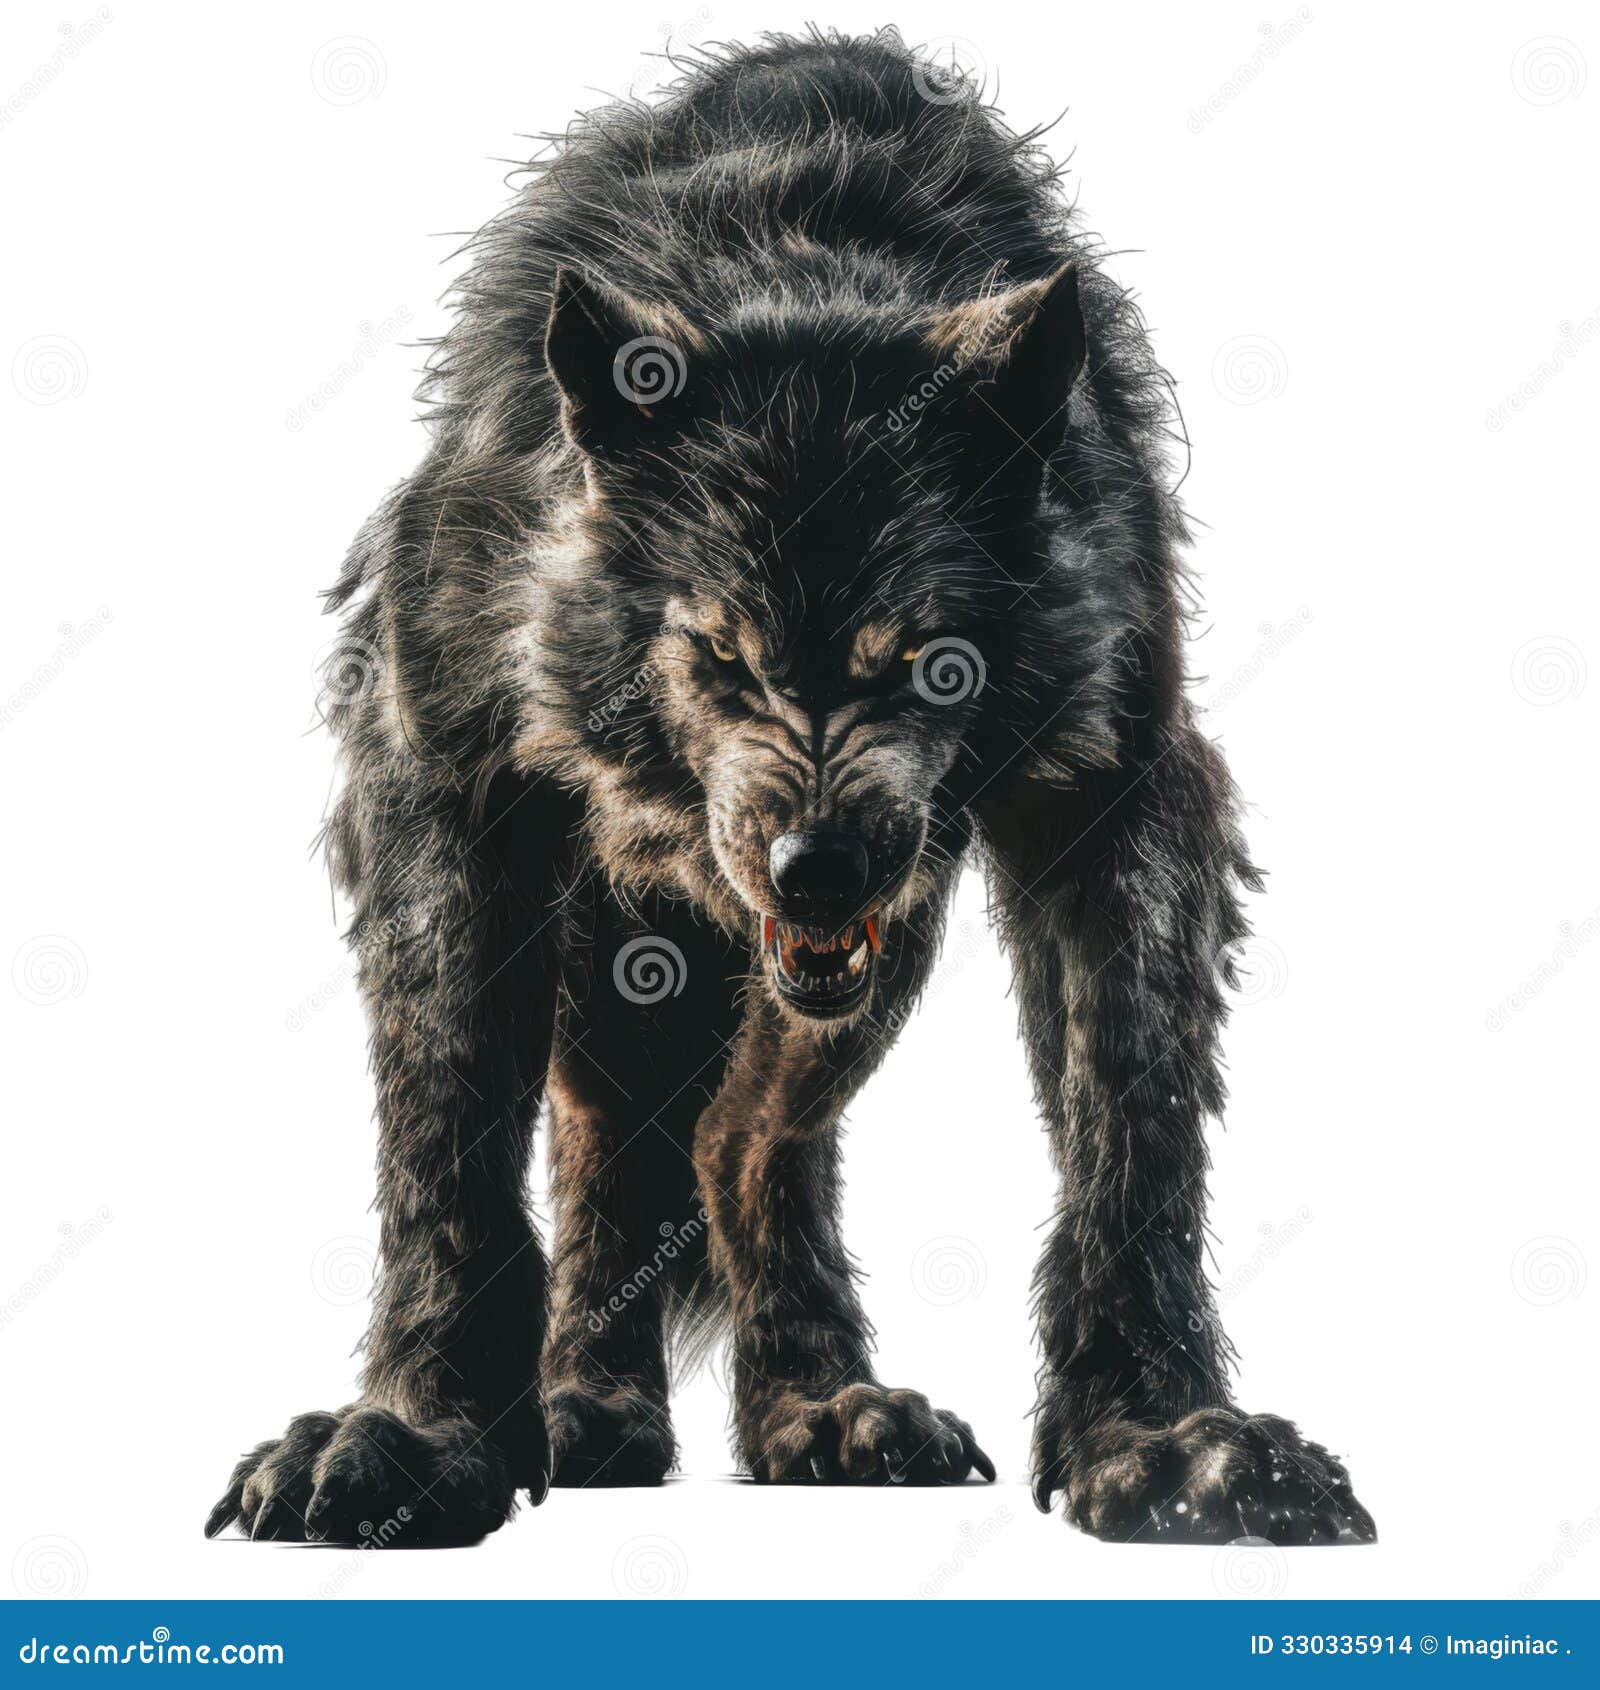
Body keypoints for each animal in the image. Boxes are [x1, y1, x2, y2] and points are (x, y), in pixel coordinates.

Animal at [206, 29, 1374, 1547]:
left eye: (933, 663)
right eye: (722, 654)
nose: (814, 865)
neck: (798, 263)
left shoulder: (1118, 801)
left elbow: (1134, 1125)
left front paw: (1168, 1441)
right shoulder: (439, 771)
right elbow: (447, 1139)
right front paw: (414, 1436)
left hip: (883, 931)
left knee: (744, 1141)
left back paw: (820, 1410)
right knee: (615, 1130)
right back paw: (589, 1410)